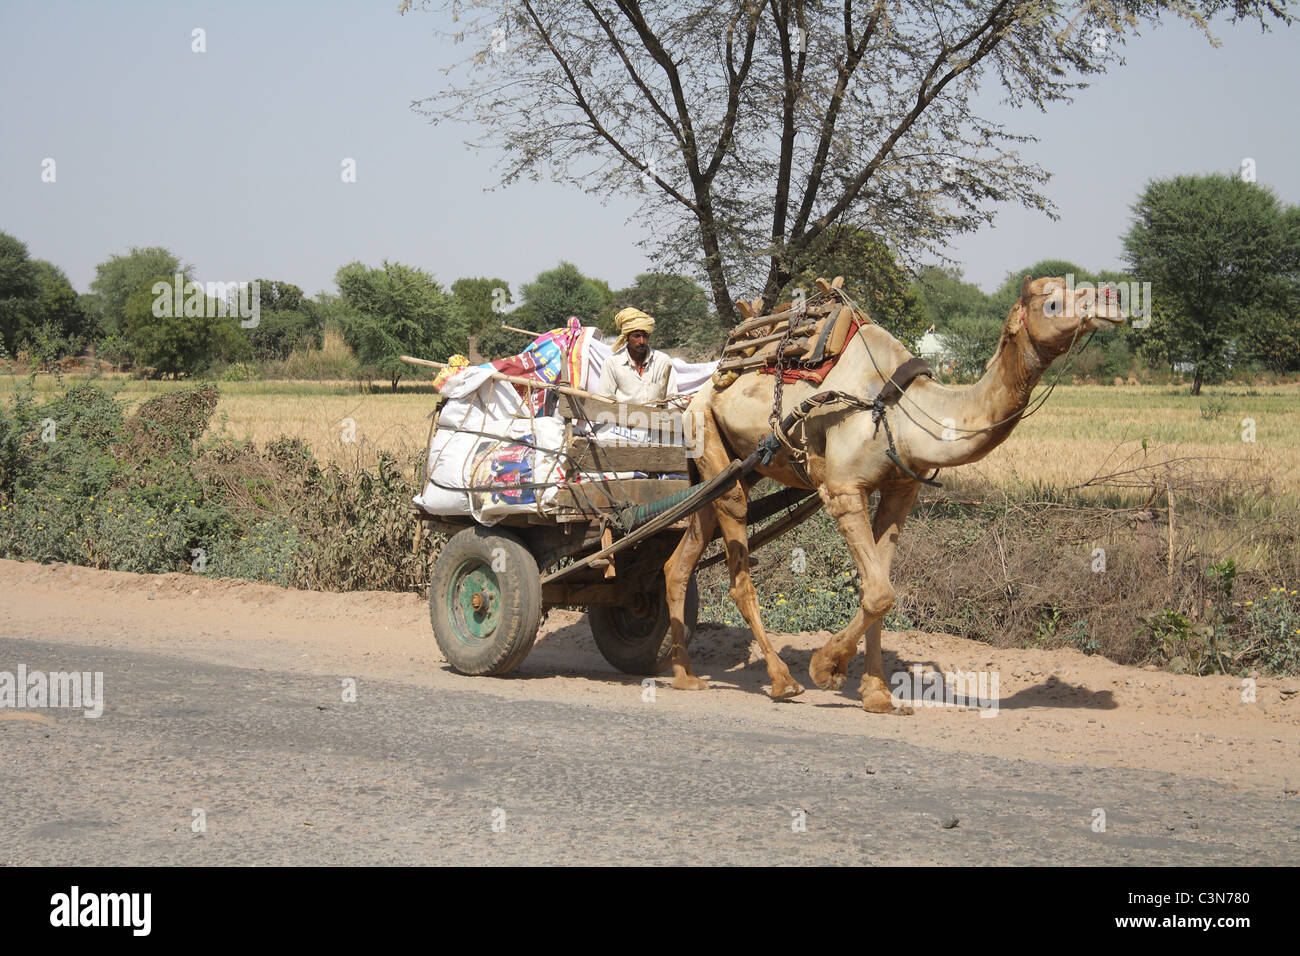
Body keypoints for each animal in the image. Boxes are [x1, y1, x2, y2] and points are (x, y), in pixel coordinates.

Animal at [662, 276, 1125, 712]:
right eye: (1053, 301)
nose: (1113, 299)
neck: (899, 411)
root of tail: (701, 392)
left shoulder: (901, 492)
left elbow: (878, 591)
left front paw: (877, 693)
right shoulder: (843, 490)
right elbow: (880, 592)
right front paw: (826, 668)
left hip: (730, 467)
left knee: (680, 559)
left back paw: (685, 675)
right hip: (710, 437)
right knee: (736, 561)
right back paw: (782, 680)